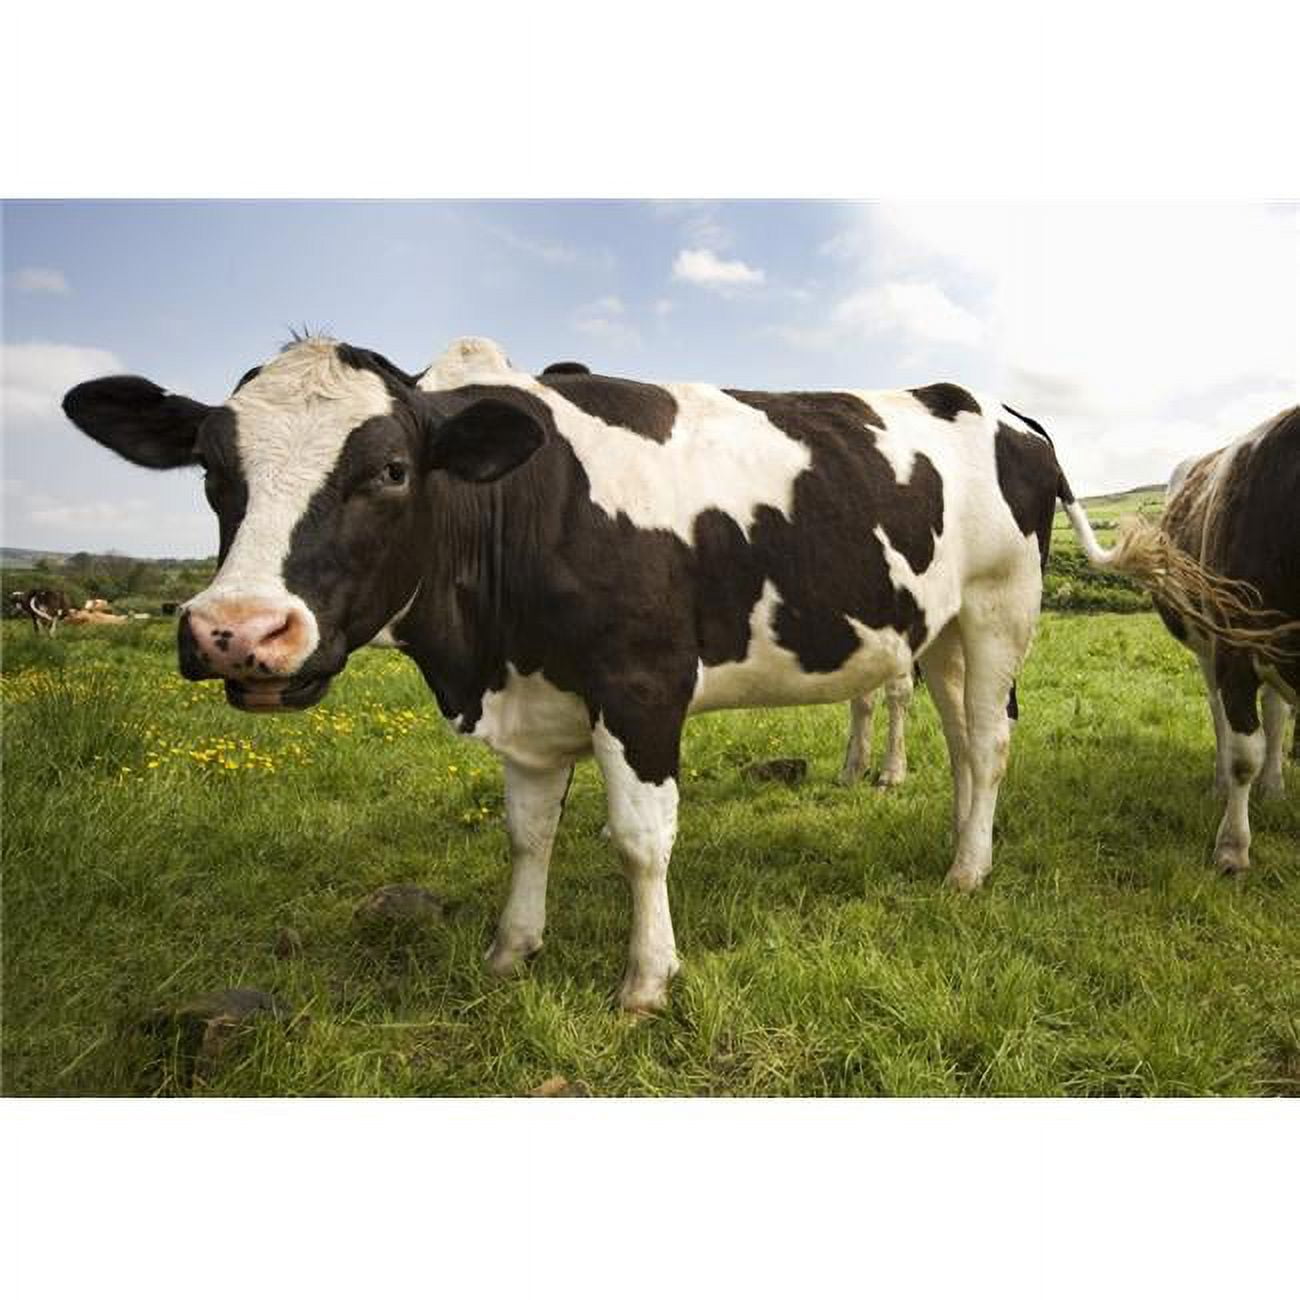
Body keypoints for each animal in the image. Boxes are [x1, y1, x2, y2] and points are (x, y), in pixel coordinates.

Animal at [61, 334, 1234, 1011]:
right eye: (213, 472)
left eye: (391, 469)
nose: (235, 631)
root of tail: (1001, 408)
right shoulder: (532, 700)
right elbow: (527, 833)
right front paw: (511, 949)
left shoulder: (642, 686)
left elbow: (639, 839)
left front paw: (646, 981)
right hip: (935, 629)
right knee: (956, 740)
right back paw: (953, 846)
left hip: (999, 609)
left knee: (987, 743)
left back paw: (968, 872)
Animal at [1153, 408, 1300, 873]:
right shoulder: (1234, 652)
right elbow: (1243, 755)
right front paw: (1232, 847)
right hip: (1207, 645)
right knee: (1219, 712)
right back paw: (1220, 783)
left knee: (1275, 713)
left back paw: (1274, 785)